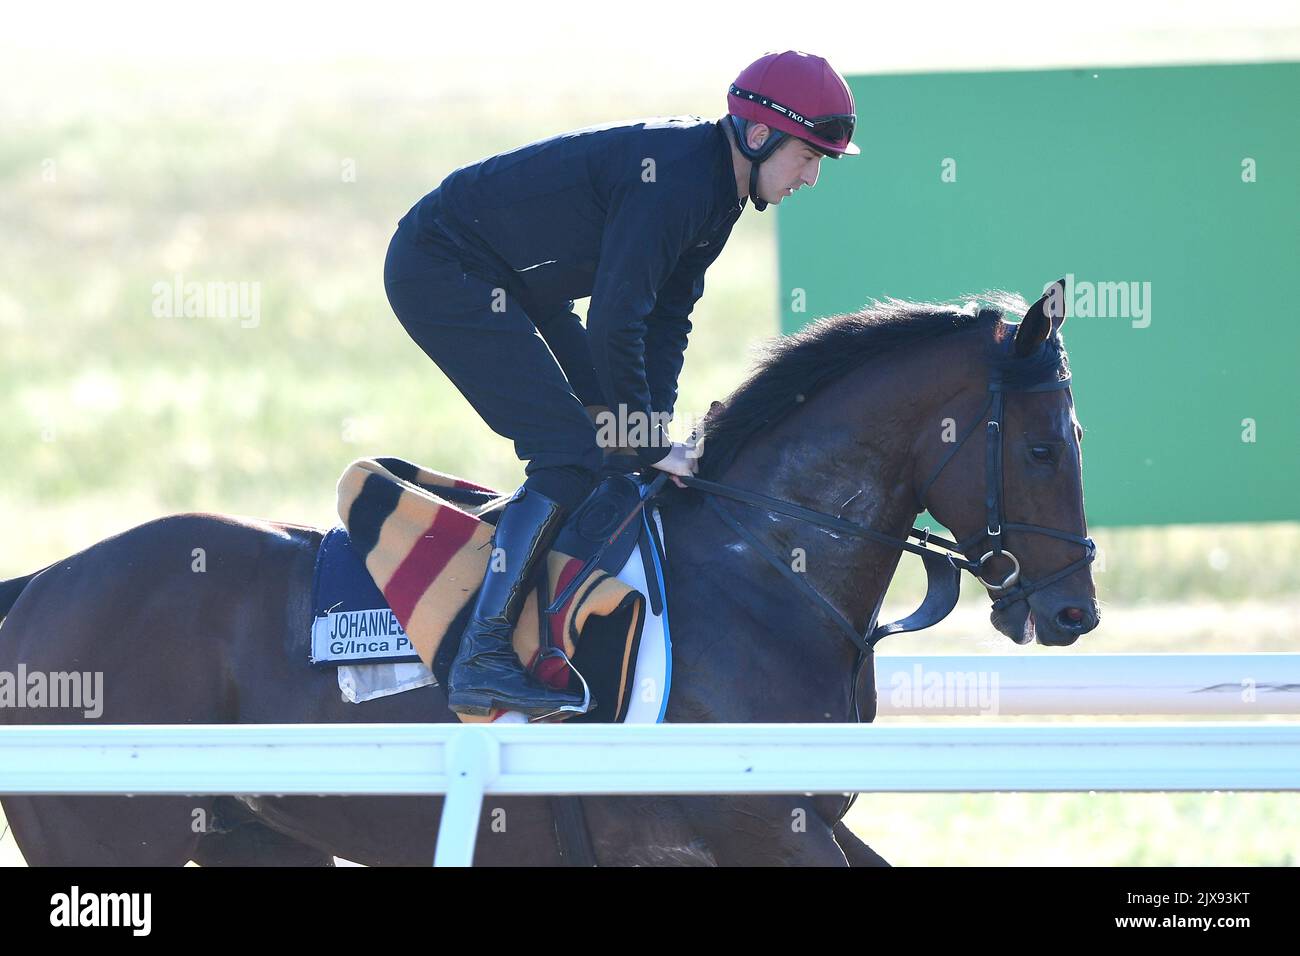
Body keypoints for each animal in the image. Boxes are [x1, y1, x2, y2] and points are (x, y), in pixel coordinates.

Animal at [0, 282, 1097, 865]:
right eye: (1045, 446)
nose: (1072, 610)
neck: (763, 567)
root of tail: (42, 587)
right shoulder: (759, 821)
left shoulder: (798, 820)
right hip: (107, 837)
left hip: (251, 836)